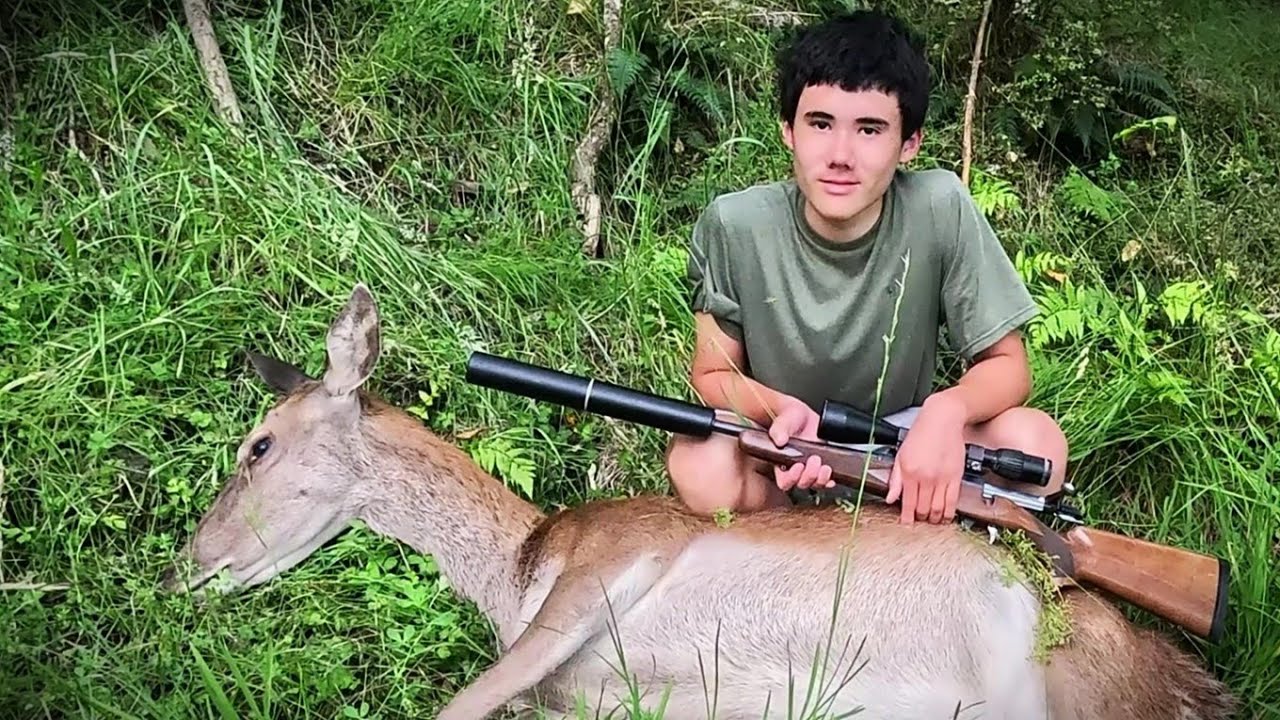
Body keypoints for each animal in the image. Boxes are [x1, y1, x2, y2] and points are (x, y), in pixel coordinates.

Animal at [163, 283, 1237, 720]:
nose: (187, 569)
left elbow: (454, 703)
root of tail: (1202, 684)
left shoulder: (605, 570)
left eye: (258, 444)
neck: (517, 566)